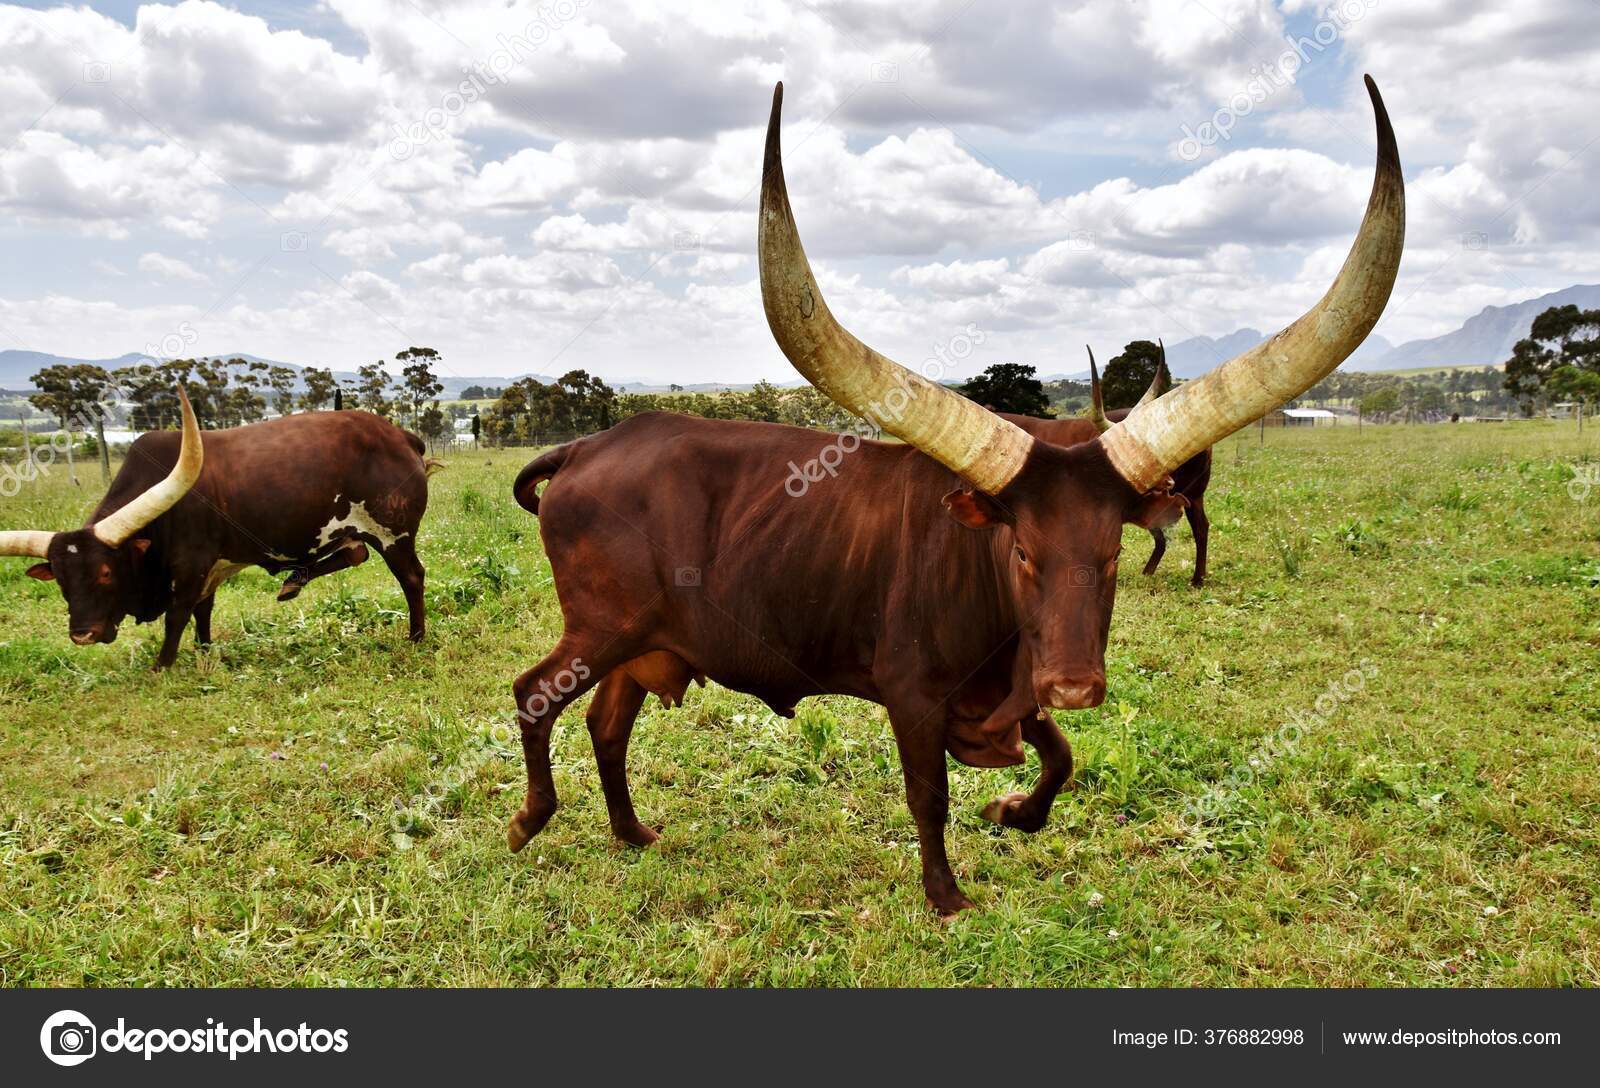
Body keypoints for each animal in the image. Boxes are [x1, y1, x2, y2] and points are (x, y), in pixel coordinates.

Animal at [0, 391, 433, 668]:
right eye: (60, 579)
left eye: (105, 573)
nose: (82, 635)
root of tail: (400, 435)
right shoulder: (209, 568)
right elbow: (202, 610)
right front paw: (204, 649)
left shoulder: (191, 565)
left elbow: (178, 615)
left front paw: (163, 664)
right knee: (354, 552)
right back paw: (294, 579)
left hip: (394, 536)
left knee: (411, 578)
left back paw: (416, 637)